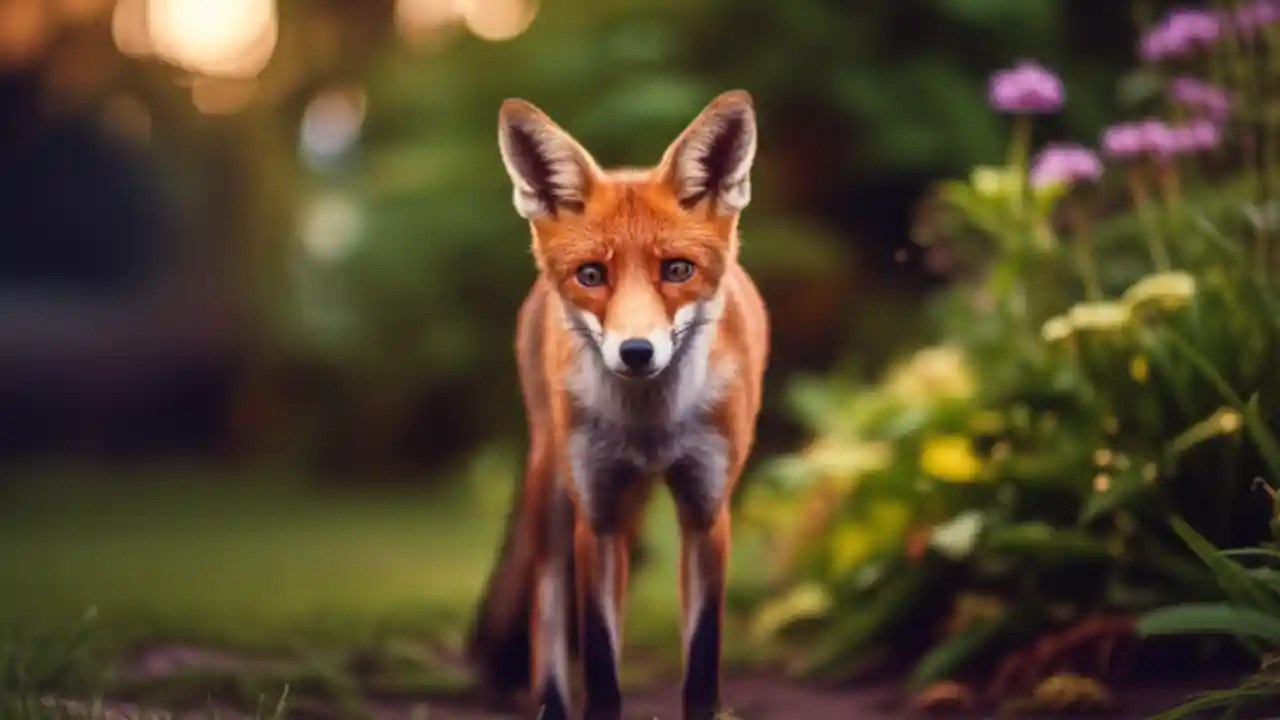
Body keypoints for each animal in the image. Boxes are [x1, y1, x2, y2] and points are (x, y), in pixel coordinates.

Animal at [468, 90, 769, 720]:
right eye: (592, 275)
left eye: (677, 269)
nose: (636, 351)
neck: (651, 426)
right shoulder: (598, 515)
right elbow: (601, 658)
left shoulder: (707, 511)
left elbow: (701, 658)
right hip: (554, 483)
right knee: (547, 605)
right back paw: (550, 704)